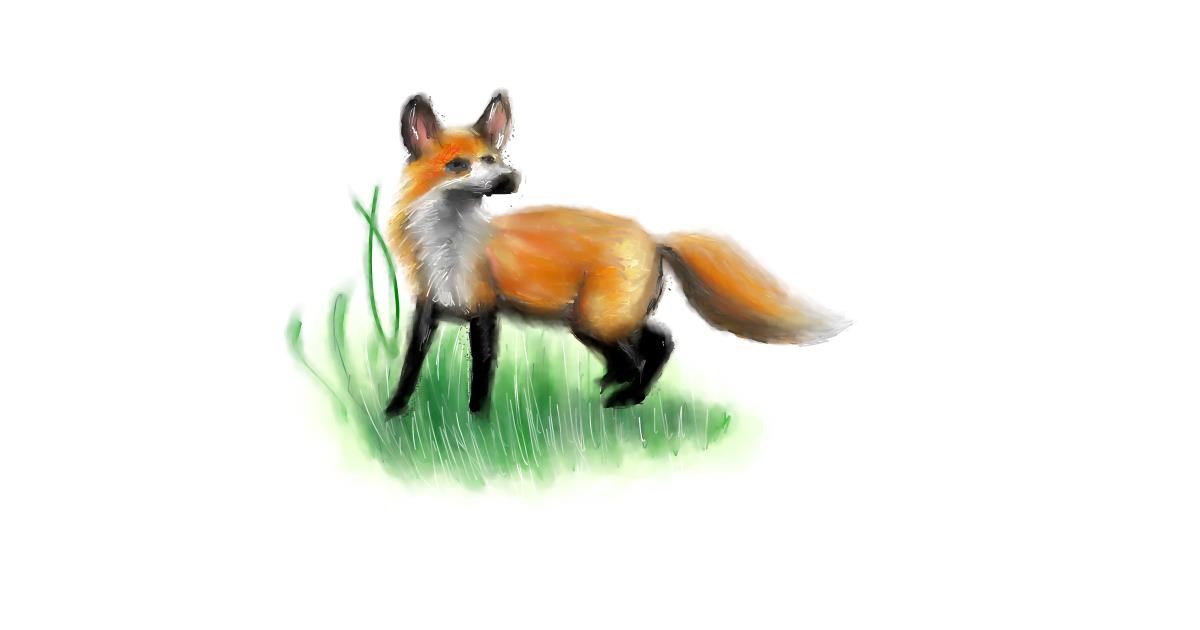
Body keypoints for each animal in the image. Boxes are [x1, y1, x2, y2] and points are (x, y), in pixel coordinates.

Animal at [384, 91, 849, 417]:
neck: (449, 251)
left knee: (657, 346)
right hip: (595, 322)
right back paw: (618, 387)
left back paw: (627, 398)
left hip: (595, 320)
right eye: (459, 165)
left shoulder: (483, 310)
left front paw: (478, 422)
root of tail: (655, 237)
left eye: (493, 158)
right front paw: (393, 414)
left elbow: (481, 374)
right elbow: (409, 369)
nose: (510, 178)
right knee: (646, 349)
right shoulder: (428, 308)